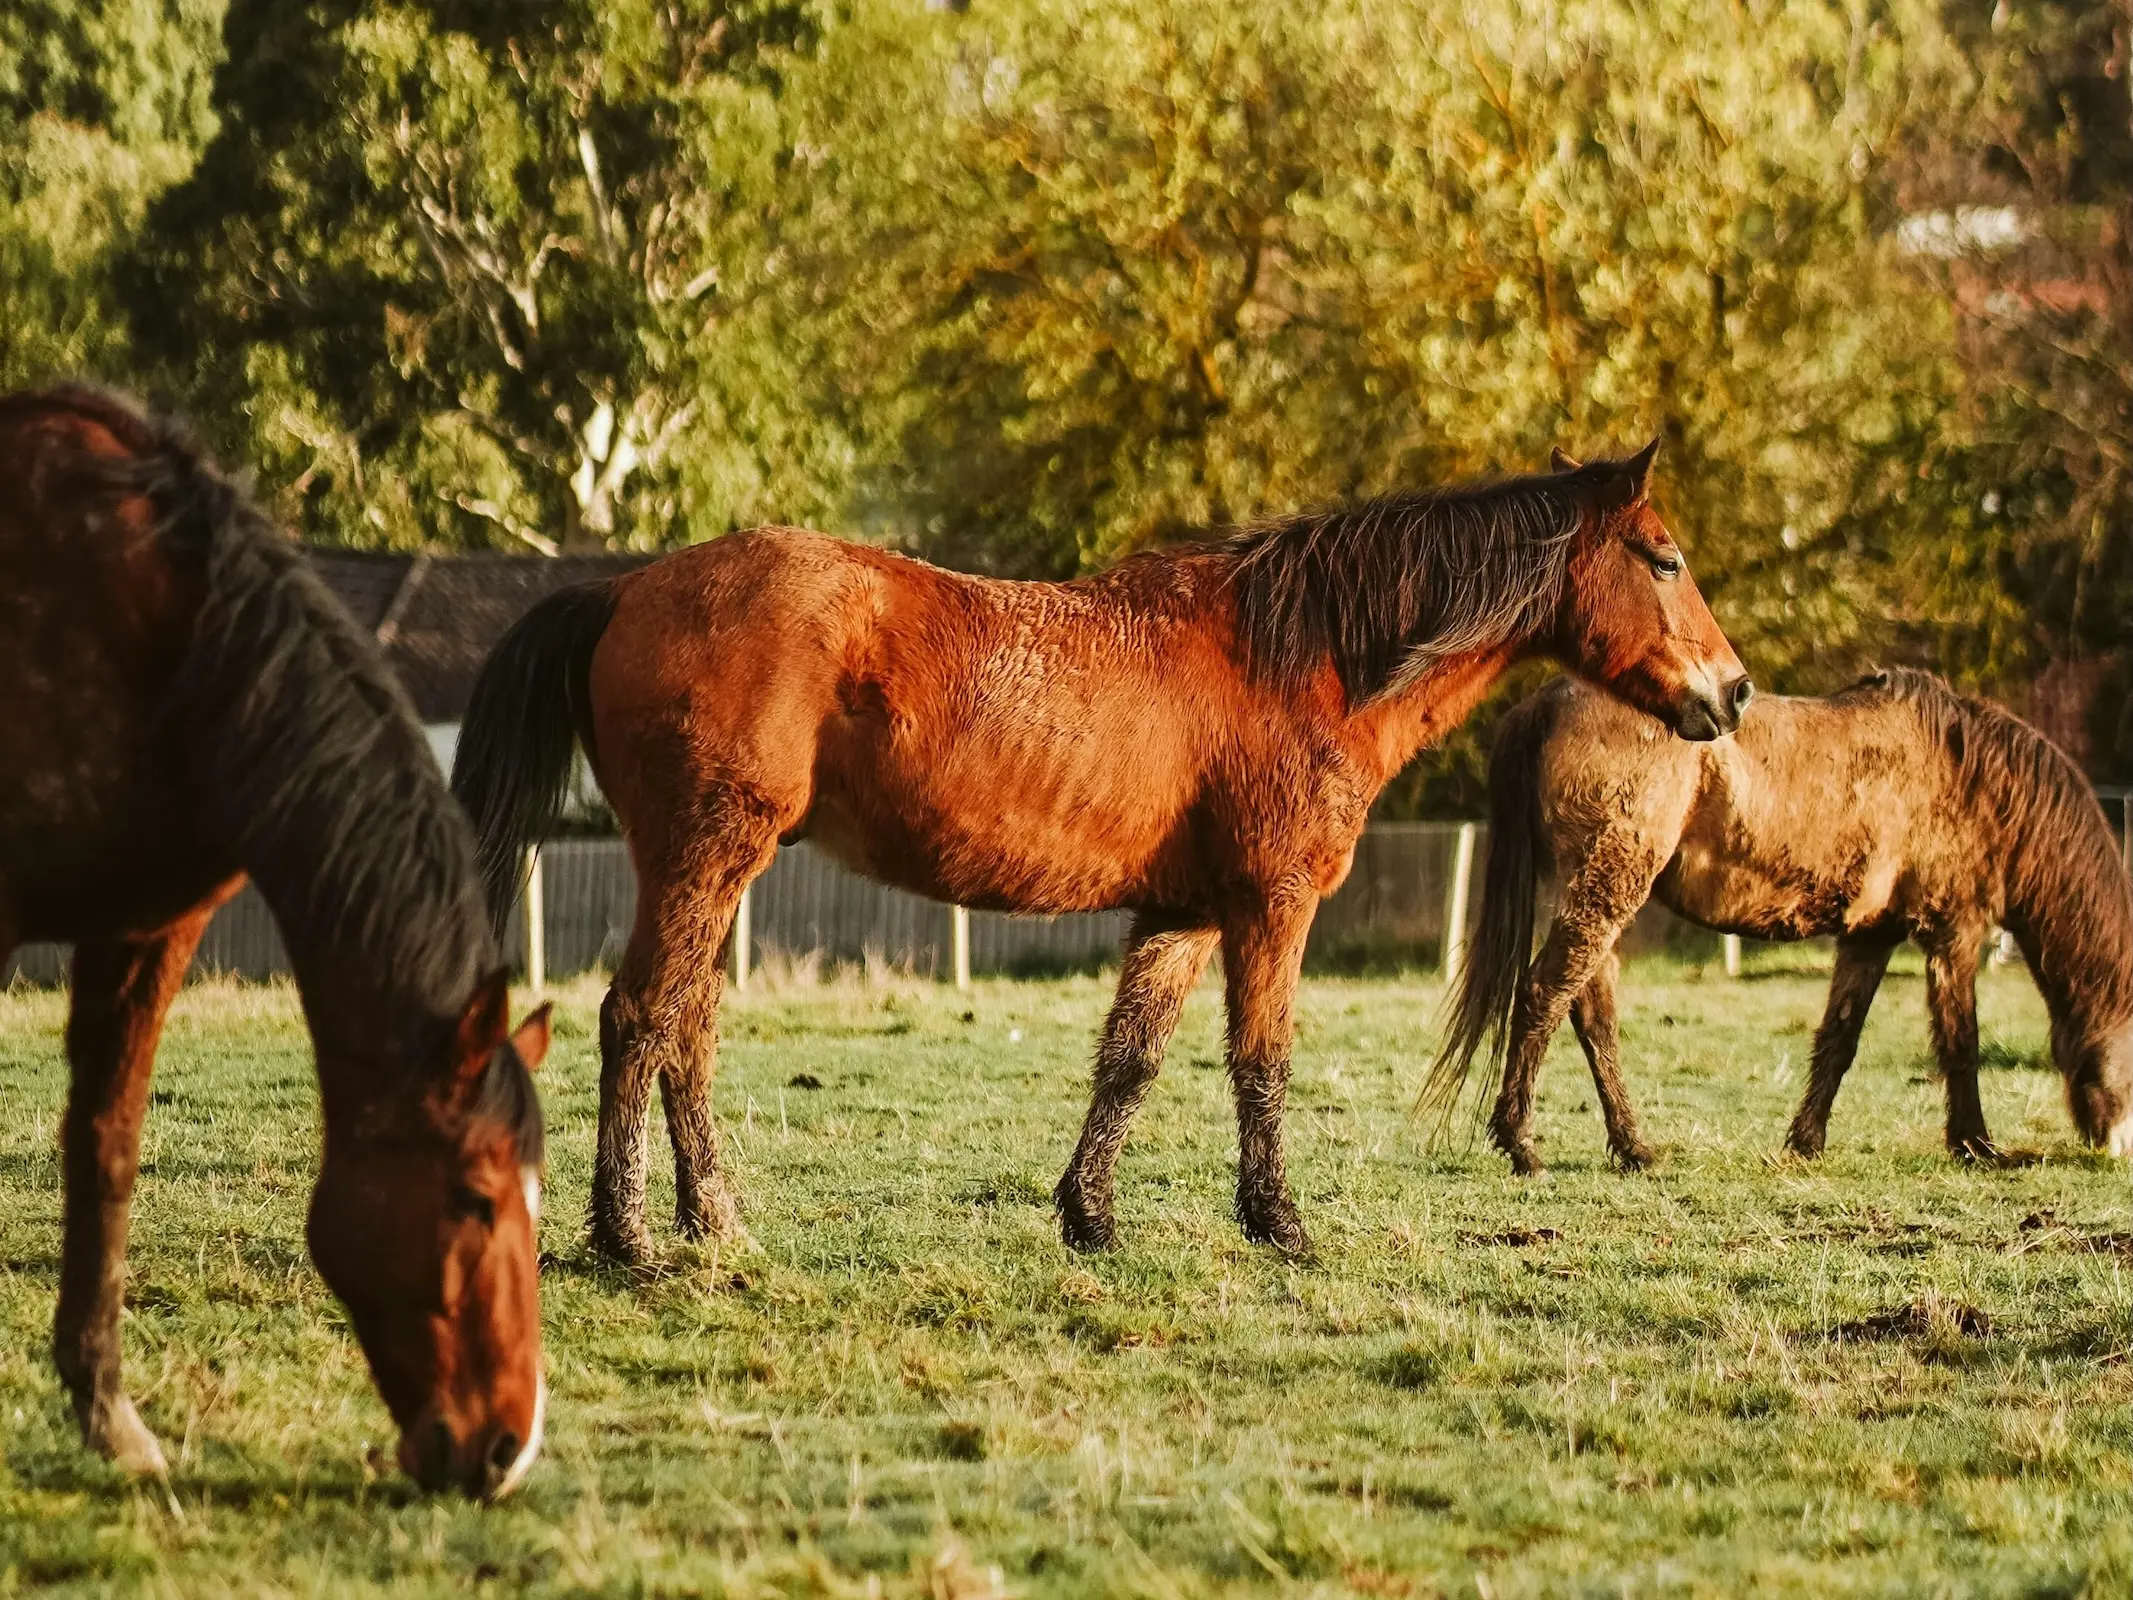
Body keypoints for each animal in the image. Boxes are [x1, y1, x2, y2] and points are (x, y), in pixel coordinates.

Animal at [453, 439, 1750, 1262]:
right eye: (1665, 557)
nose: (1732, 692)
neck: (1302, 657)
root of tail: (626, 590)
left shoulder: (1184, 910)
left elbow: (1130, 1062)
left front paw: (1089, 1217)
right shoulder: (1271, 905)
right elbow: (1262, 1062)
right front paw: (1280, 1224)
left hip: (719, 868)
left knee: (686, 1033)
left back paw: (715, 1220)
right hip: (700, 856)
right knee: (638, 1018)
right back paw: (626, 1238)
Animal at [1428, 668, 2133, 1175]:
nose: (2117, 1151)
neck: (1971, 778)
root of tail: (1547, 701)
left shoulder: (1871, 935)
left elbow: (1839, 1040)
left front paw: (1805, 1142)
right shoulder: (1953, 931)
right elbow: (1961, 1042)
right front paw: (1977, 1147)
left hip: (1594, 891)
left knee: (1591, 1013)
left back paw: (1633, 1149)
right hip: (1609, 886)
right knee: (1545, 994)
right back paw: (1522, 1144)